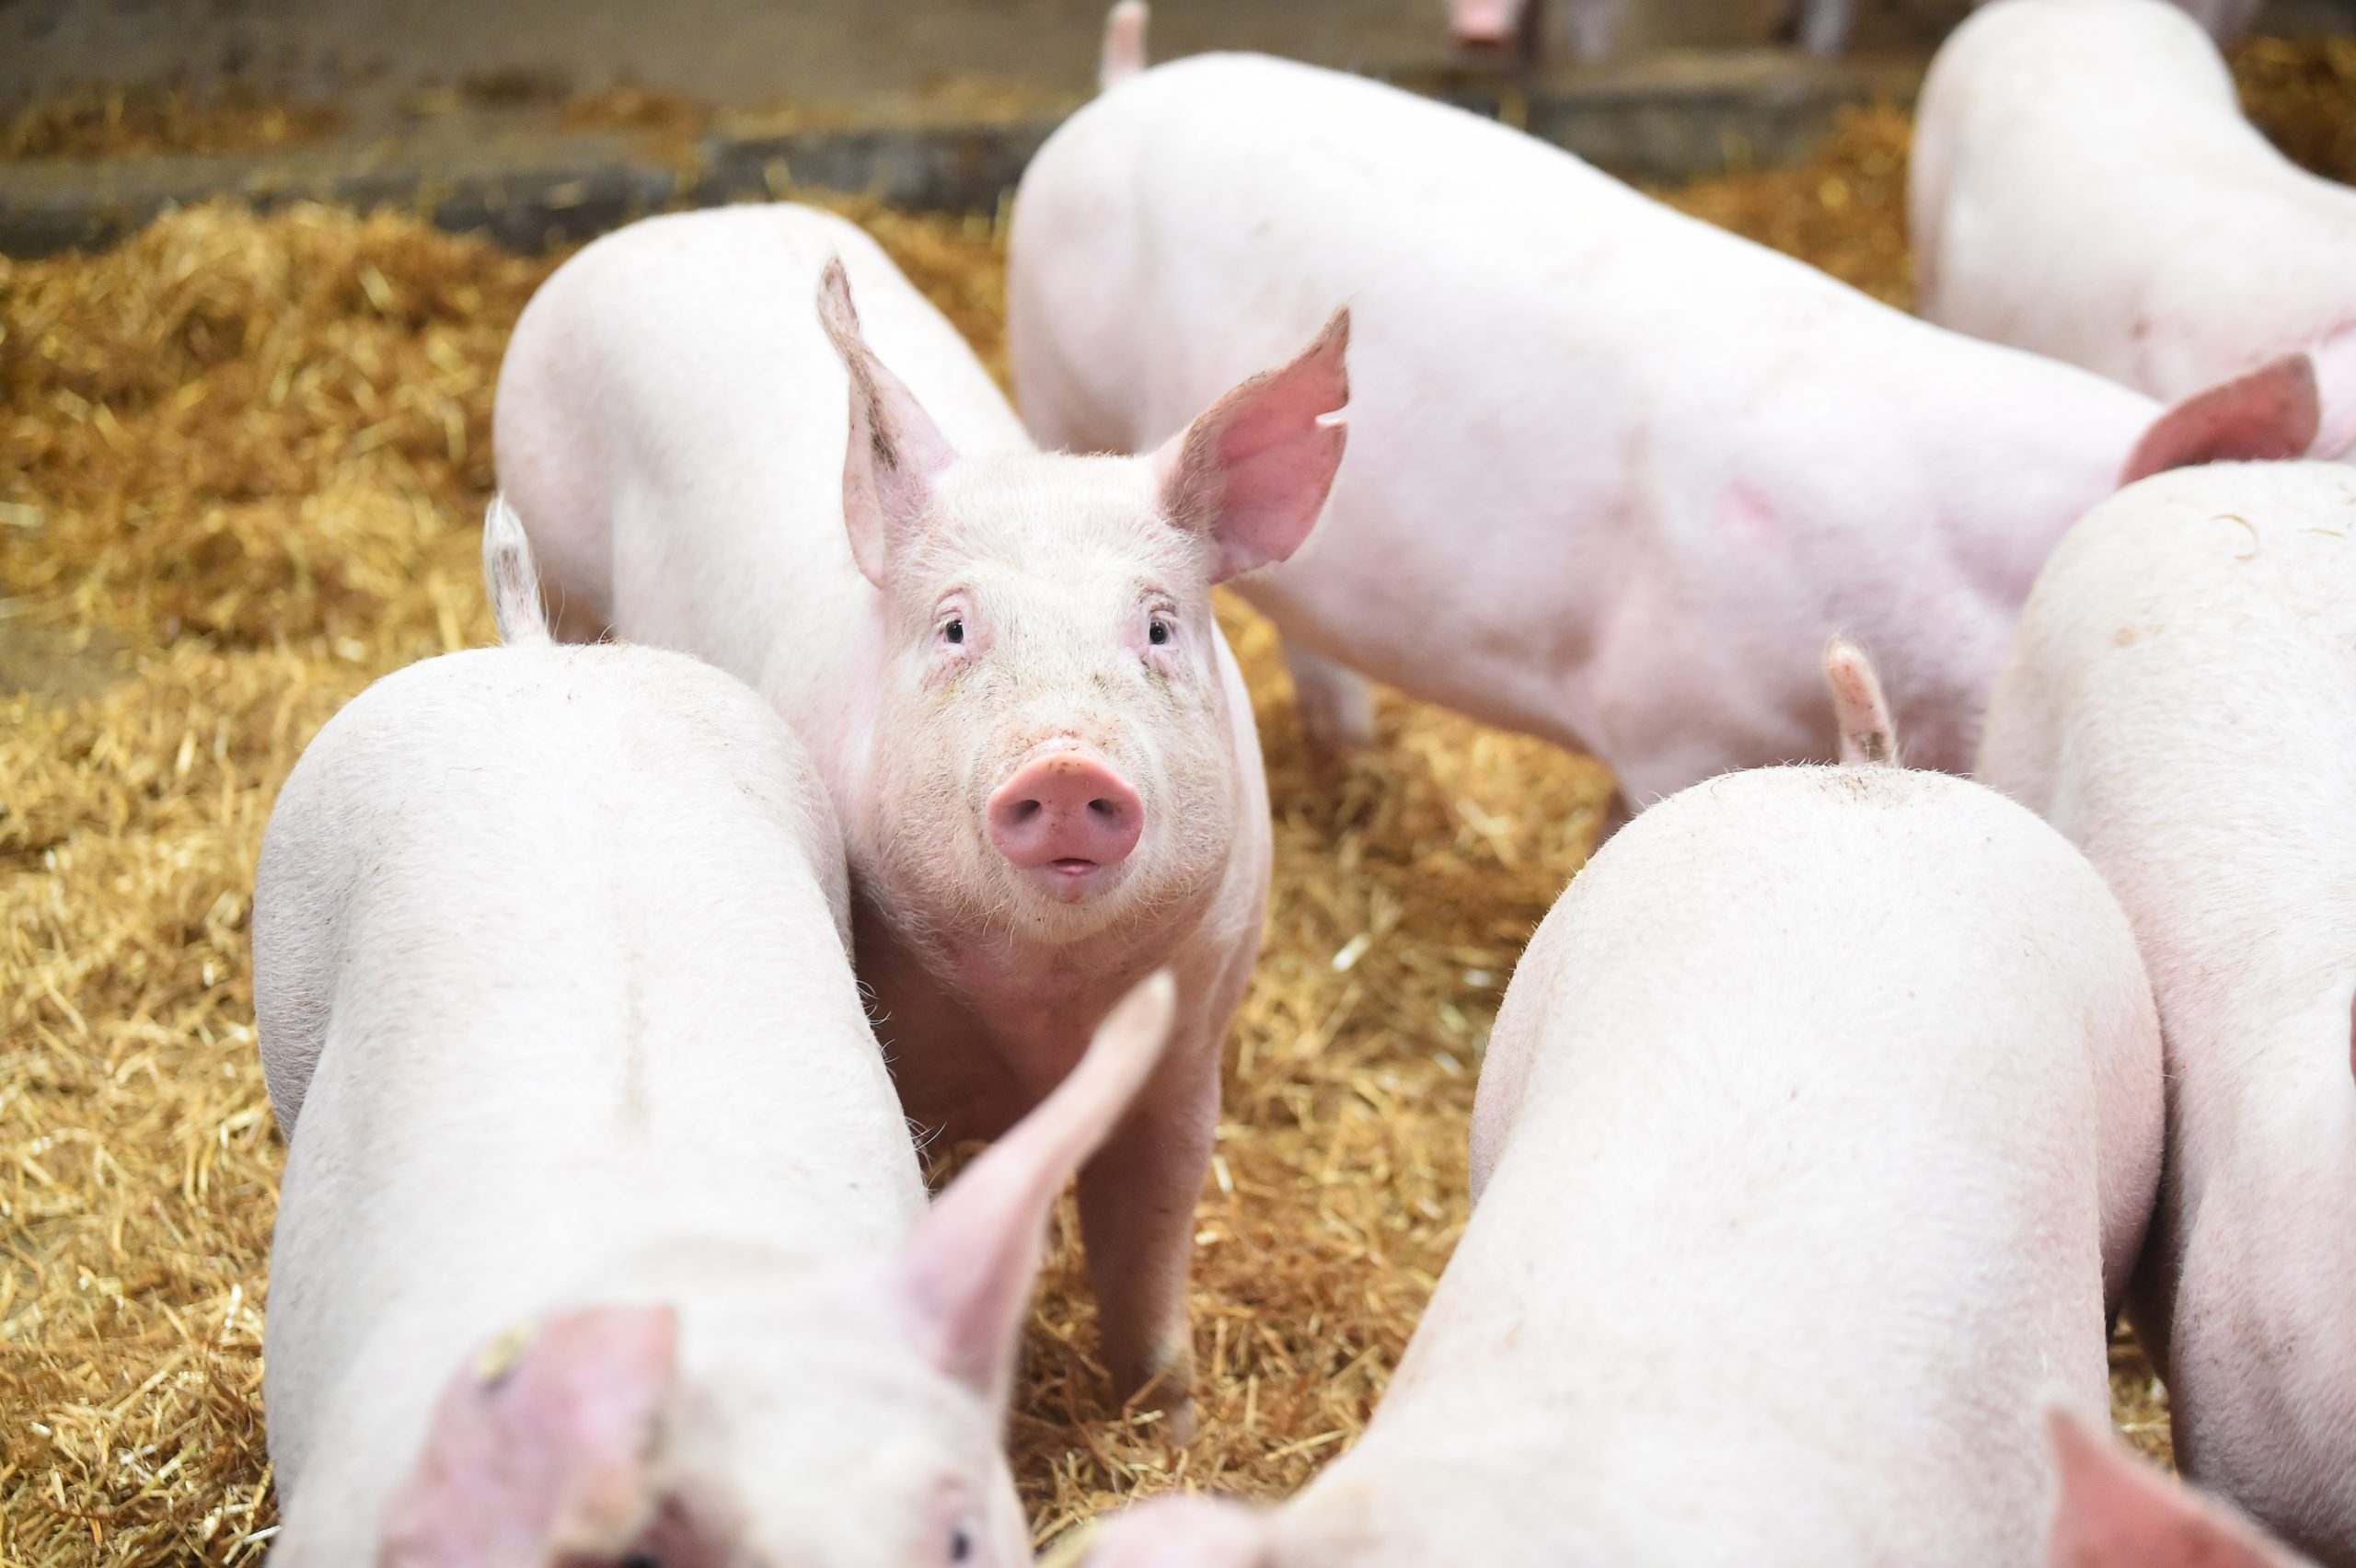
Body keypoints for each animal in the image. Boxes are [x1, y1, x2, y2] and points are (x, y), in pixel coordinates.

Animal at [493, 204, 1348, 1434]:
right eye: (952, 629)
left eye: (1157, 627)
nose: (1066, 763)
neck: (1043, 1013)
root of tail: (684, 222)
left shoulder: (1190, 1060)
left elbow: (1148, 1258)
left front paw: (1172, 1426)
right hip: (552, 541)